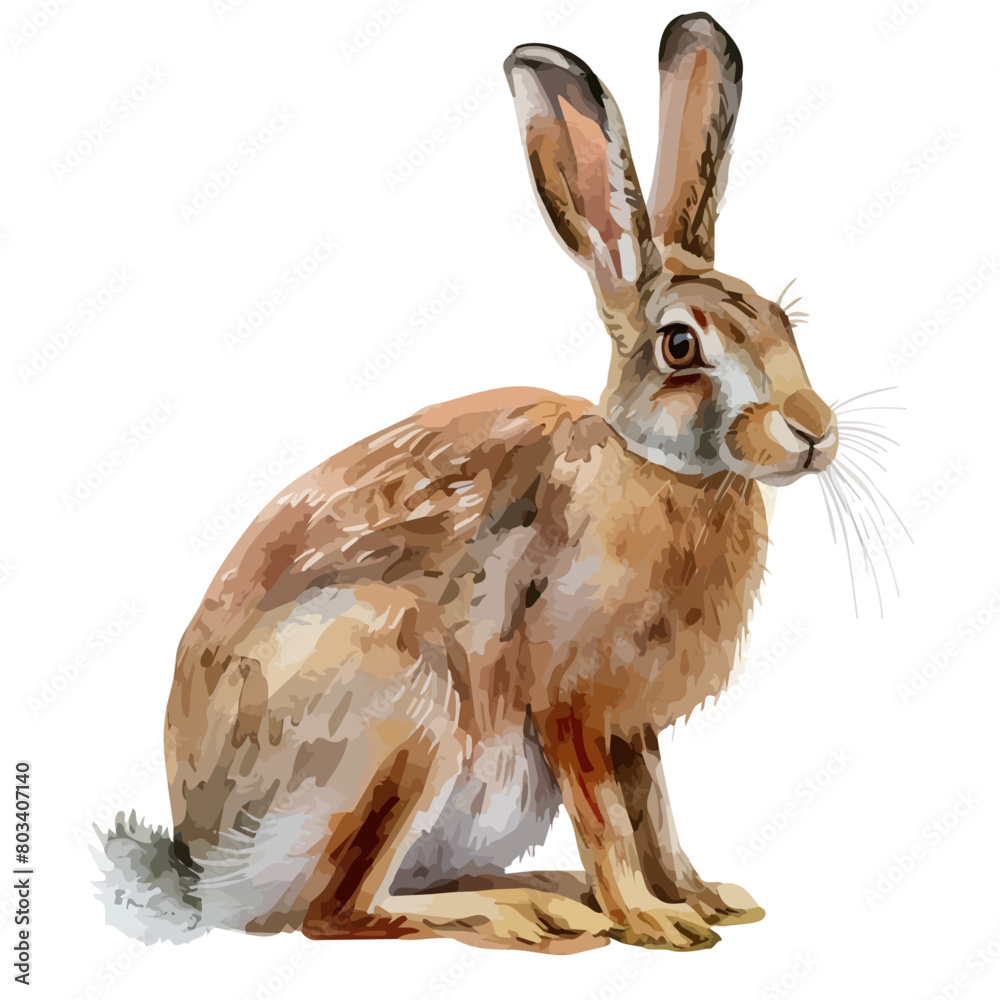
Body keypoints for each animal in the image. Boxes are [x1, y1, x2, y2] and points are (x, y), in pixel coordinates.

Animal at [96, 12, 838, 954]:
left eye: (784, 321)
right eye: (680, 346)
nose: (815, 432)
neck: (654, 468)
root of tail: (198, 868)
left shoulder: (632, 727)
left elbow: (656, 813)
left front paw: (707, 900)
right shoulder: (568, 705)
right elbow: (608, 820)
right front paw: (653, 922)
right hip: (402, 706)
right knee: (337, 912)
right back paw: (528, 910)